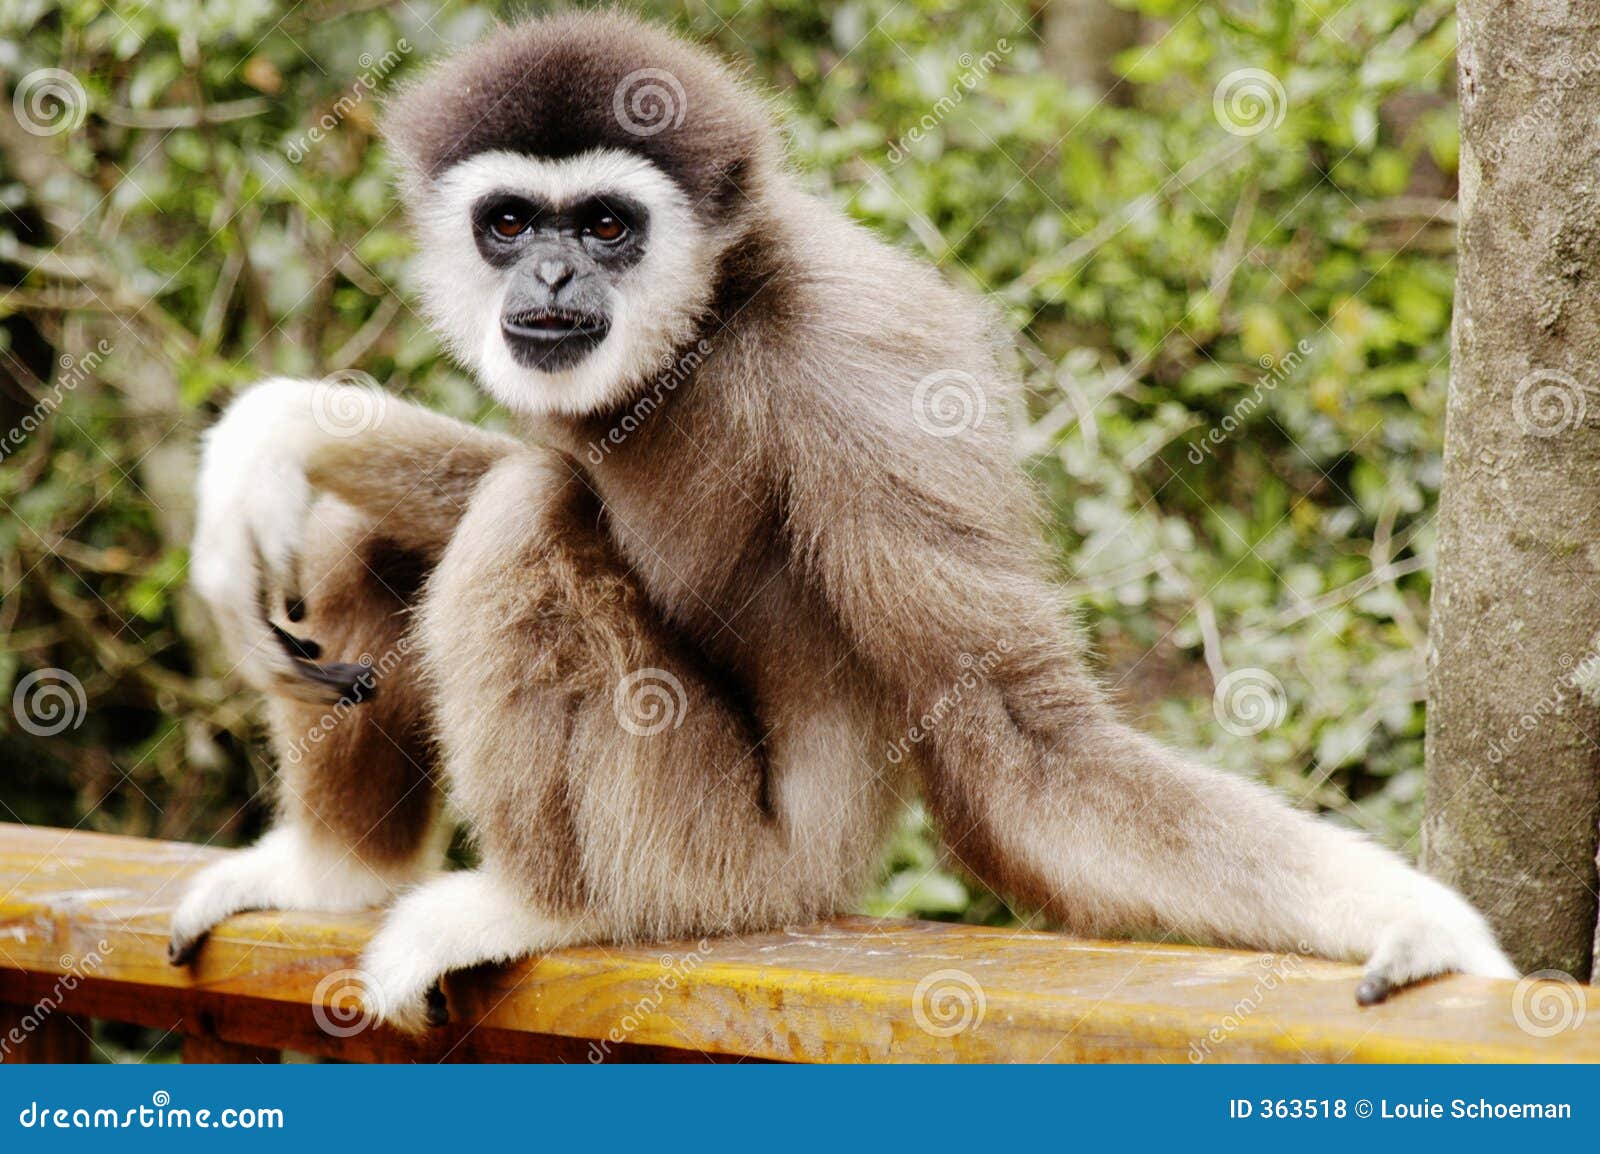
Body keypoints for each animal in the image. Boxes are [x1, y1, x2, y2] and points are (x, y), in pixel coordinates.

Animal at [170, 11, 1515, 1034]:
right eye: (508, 222)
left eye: (604, 224)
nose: (549, 277)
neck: (721, 314)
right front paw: (285, 427)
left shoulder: (873, 374)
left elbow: (1015, 738)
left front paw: (1421, 920)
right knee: (388, 525)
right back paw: (335, 871)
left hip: (713, 866)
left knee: (526, 513)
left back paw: (543, 902)